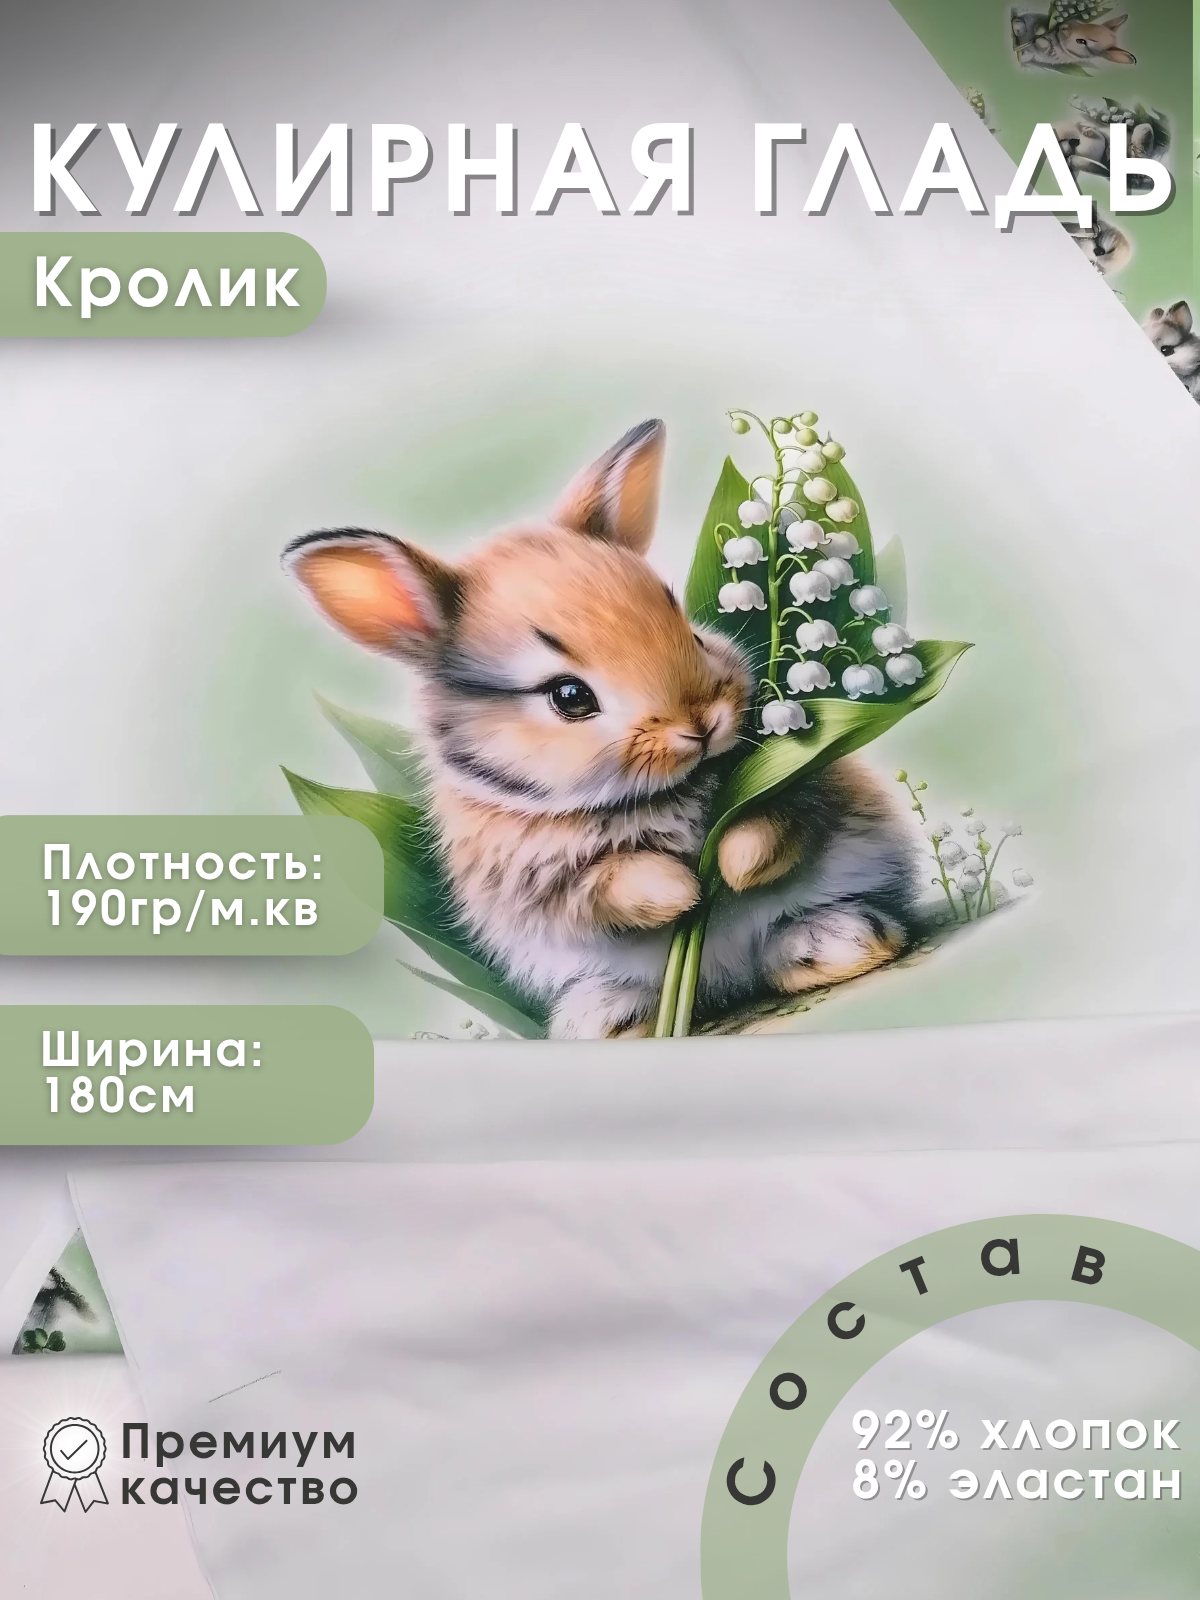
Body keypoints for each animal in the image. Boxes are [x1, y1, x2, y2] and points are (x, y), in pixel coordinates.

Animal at [286, 421, 918, 1039]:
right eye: (569, 697)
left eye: (690, 633)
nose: (702, 724)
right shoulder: (540, 881)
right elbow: (610, 885)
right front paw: (684, 890)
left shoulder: (800, 785)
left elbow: (777, 826)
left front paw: (729, 868)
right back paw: (609, 1020)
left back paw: (842, 943)